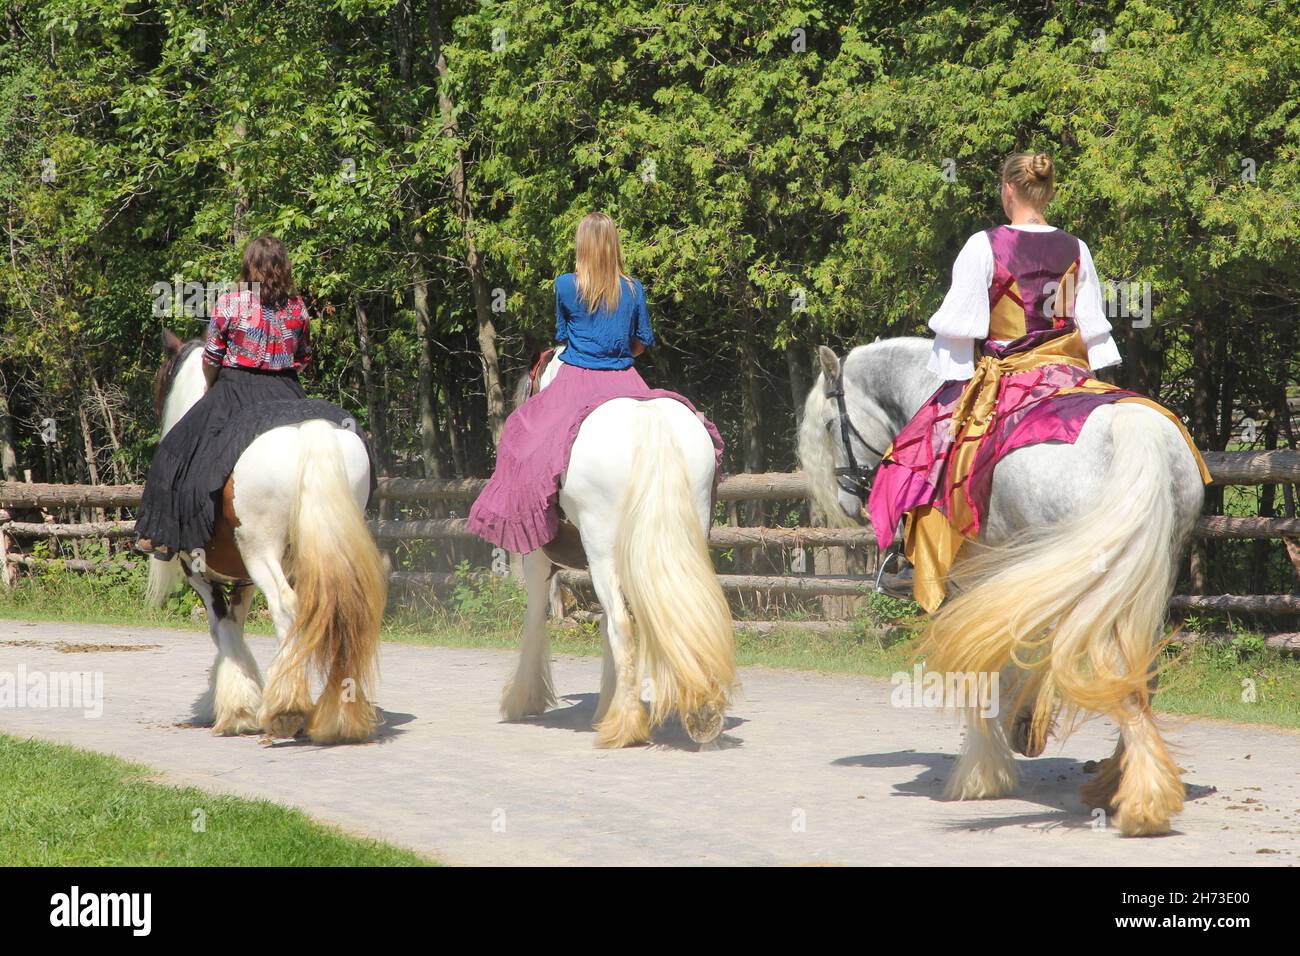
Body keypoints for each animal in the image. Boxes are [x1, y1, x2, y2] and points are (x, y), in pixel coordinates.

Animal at [145, 330, 386, 744]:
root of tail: (310, 432)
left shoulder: (202, 574)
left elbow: (224, 630)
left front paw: (237, 709)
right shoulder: (243, 580)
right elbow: (235, 624)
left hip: (262, 555)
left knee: (287, 607)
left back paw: (287, 710)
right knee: (341, 608)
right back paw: (337, 713)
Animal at [498, 349, 736, 747]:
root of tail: (650, 422)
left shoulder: (537, 556)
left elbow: (535, 616)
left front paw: (523, 699)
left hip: (601, 551)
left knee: (622, 624)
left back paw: (626, 727)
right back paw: (700, 713)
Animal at [798, 338, 1205, 836]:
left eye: (830, 423)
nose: (847, 501)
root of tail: (1133, 430)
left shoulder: (969, 584)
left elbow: (979, 664)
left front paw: (982, 772)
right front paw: (1022, 727)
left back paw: (1142, 803)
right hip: (1143, 576)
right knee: (1138, 671)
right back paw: (1119, 782)